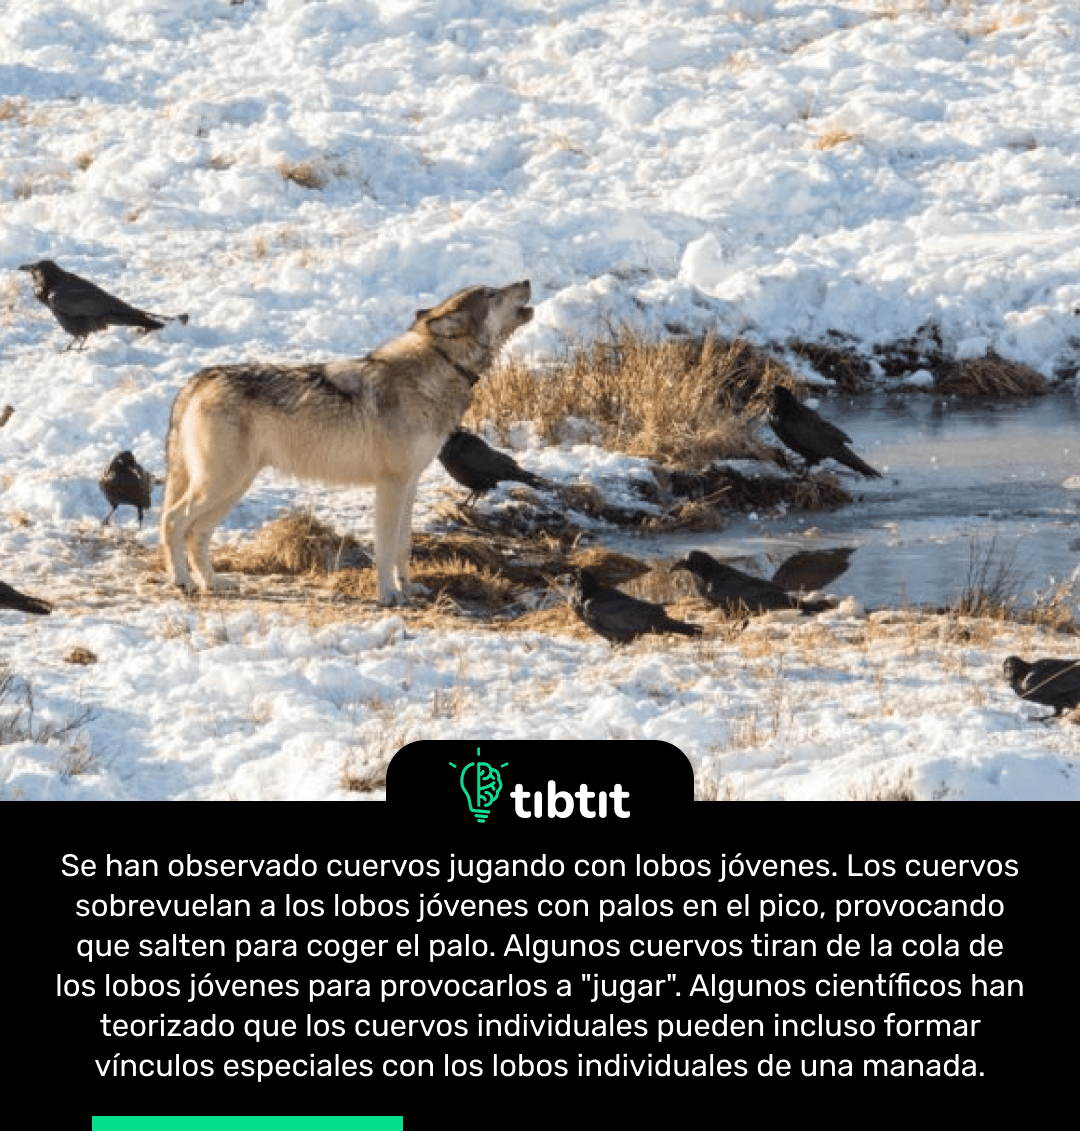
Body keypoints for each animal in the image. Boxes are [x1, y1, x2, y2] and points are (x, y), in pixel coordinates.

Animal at [161, 280, 532, 605]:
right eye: (492, 293)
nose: (527, 281)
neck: (439, 369)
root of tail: (197, 380)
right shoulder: (390, 485)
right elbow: (385, 549)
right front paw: (388, 596)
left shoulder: (410, 484)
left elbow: (403, 546)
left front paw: (409, 588)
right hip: (221, 485)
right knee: (173, 521)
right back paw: (183, 582)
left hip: (232, 489)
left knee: (197, 533)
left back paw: (212, 582)